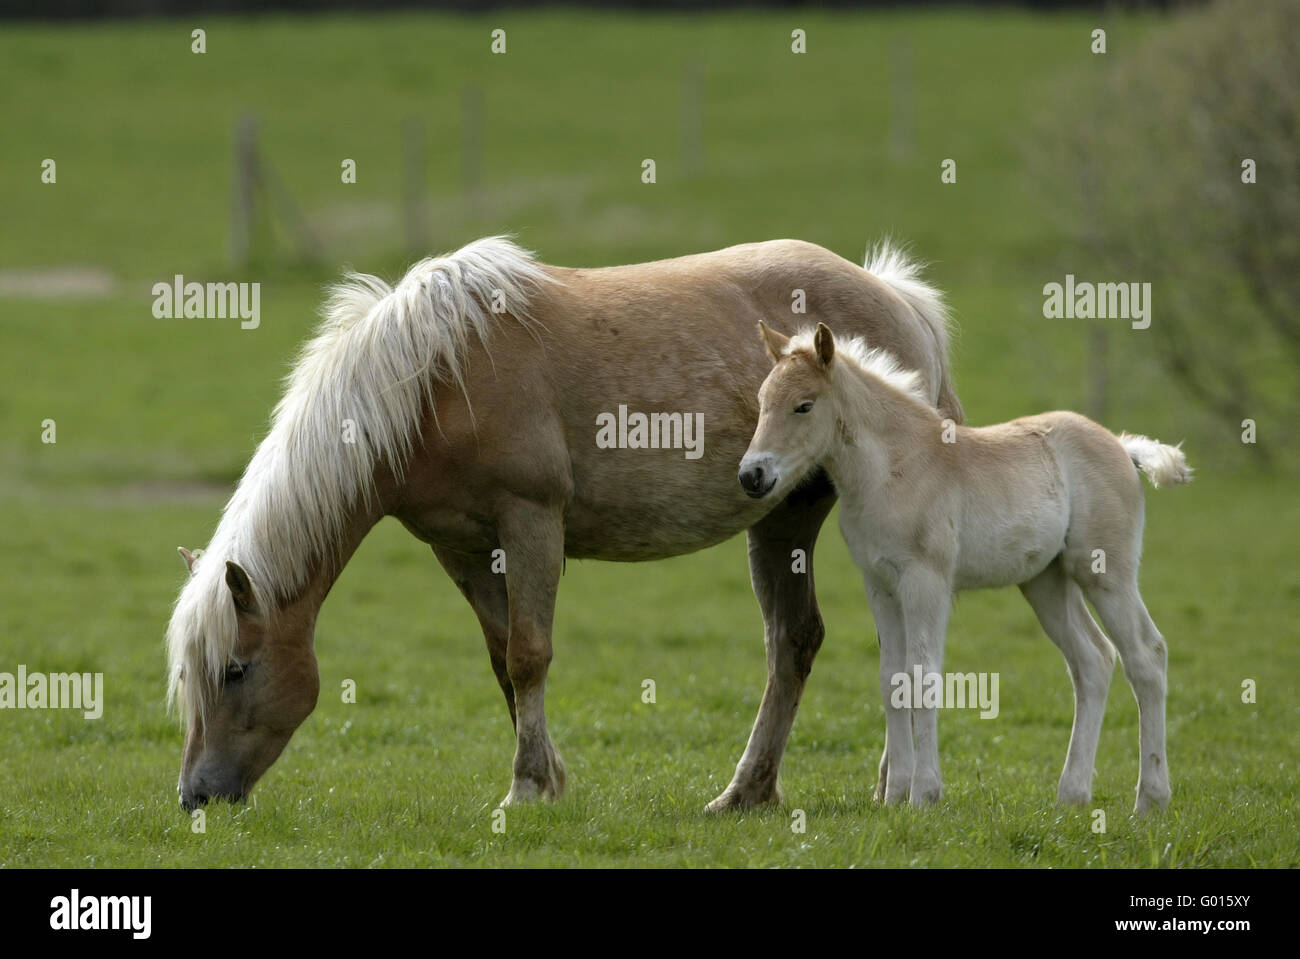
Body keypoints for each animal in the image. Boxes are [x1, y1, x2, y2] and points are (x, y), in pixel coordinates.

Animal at [166, 236, 962, 812]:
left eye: (234, 669)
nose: (195, 796)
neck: (432, 383)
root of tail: (900, 300)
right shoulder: (462, 549)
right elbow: (502, 663)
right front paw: (547, 778)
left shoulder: (531, 524)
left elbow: (530, 656)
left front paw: (524, 790)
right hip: (780, 519)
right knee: (794, 643)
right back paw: (750, 793)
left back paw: (886, 787)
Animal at [739, 321, 1188, 815]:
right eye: (762, 401)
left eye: (804, 405)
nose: (751, 476)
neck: (894, 468)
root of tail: (1122, 446)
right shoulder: (879, 583)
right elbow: (891, 678)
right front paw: (893, 797)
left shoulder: (926, 581)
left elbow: (923, 675)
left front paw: (924, 794)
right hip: (1045, 581)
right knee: (1094, 660)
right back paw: (1071, 794)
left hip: (1105, 572)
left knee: (1146, 655)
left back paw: (1151, 800)